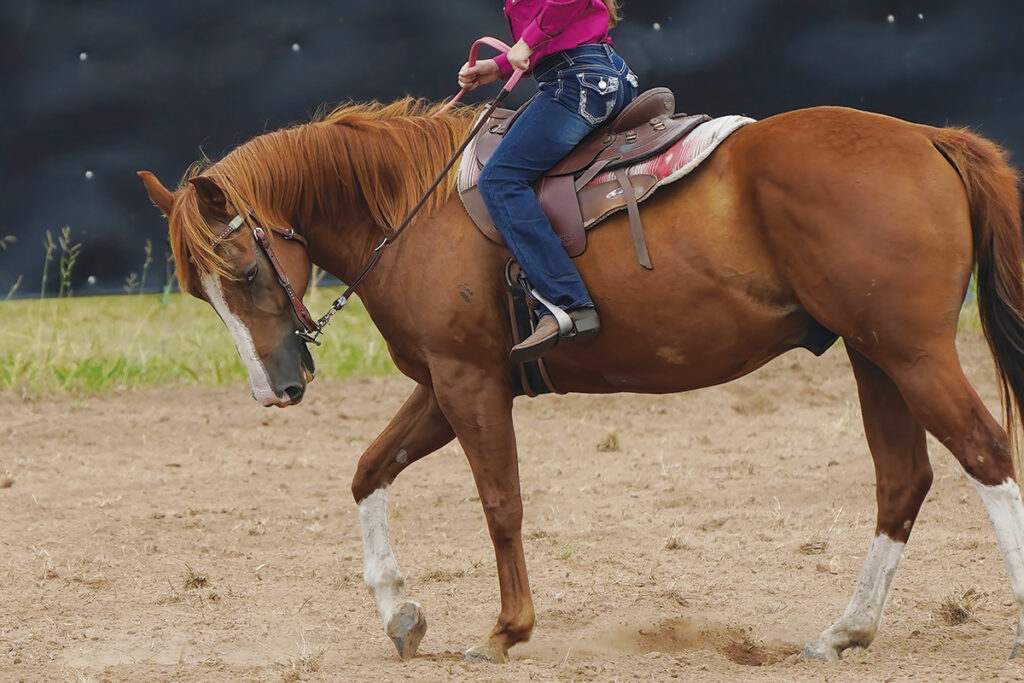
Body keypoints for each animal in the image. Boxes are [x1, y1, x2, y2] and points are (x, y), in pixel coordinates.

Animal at [138, 97, 1024, 664]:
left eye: (245, 272)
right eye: (200, 290)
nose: (274, 389)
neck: (414, 211)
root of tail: (929, 138)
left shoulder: (468, 382)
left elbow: (500, 503)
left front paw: (505, 630)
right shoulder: (446, 384)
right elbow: (368, 470)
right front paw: (399, 609)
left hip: (912, 353)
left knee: (987, 454)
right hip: (875, 356)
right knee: (903, 479)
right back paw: (845, 631)